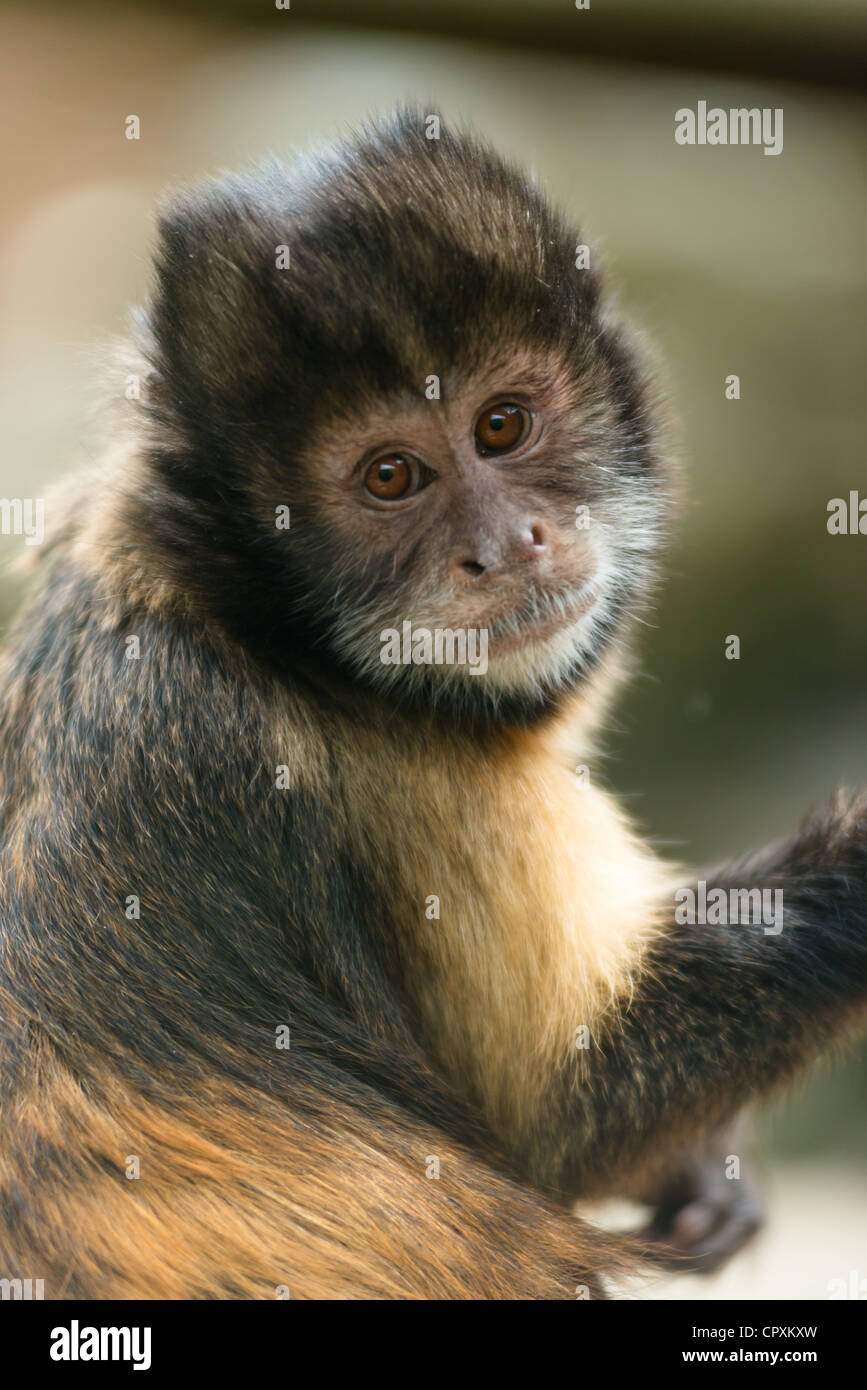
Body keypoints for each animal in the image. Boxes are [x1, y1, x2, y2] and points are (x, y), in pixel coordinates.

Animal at [0, 107, 865, 1301]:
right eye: (391, 478)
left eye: (501, 427)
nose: (504, 545)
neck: (266, 634)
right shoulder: (365, 770)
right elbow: (566, 1123)